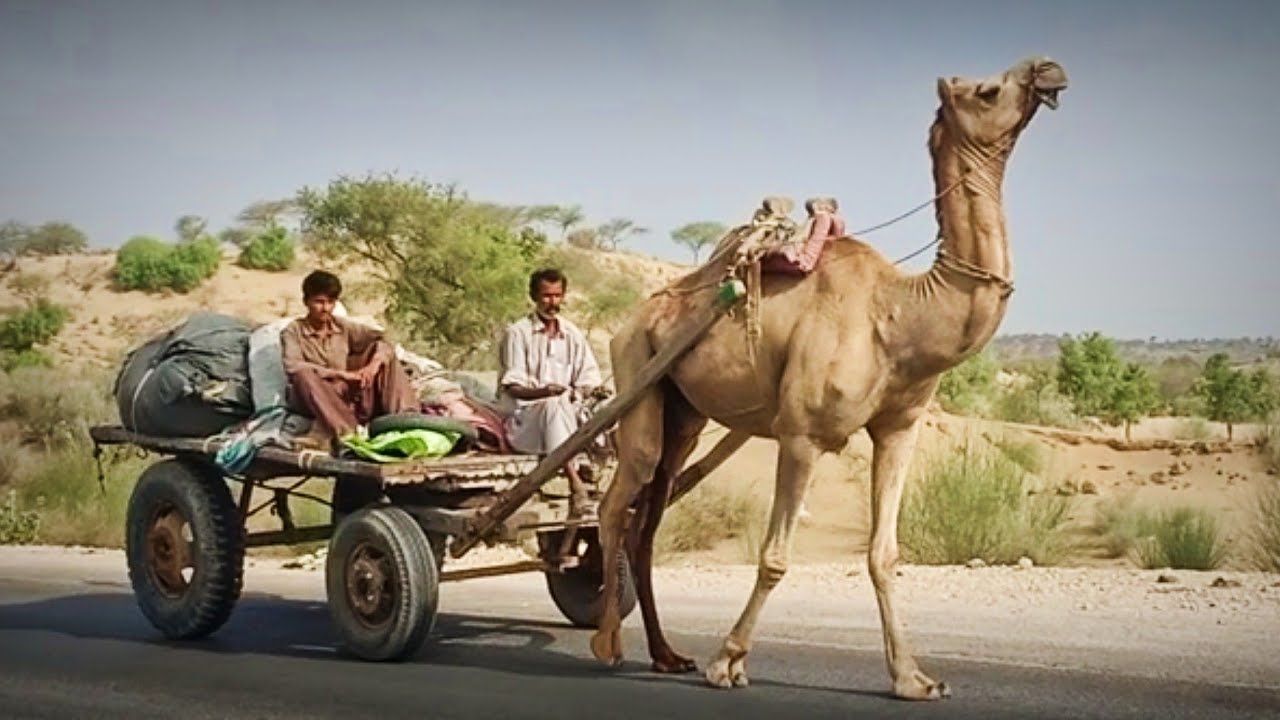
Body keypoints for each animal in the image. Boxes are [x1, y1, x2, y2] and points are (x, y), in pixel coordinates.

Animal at [588, 56, 1069, 699]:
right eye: (988, 89)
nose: (1048, 69)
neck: (899, 316)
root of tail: (634, 317)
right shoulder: (803, 434)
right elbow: (774, 556)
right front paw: (728, 662)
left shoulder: (899, 429)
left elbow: (884, 554)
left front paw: (913, 678)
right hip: (635, 369)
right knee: (618, 501)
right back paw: (609, 645)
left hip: (682, 414)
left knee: (649, 516)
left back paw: (666, 654)